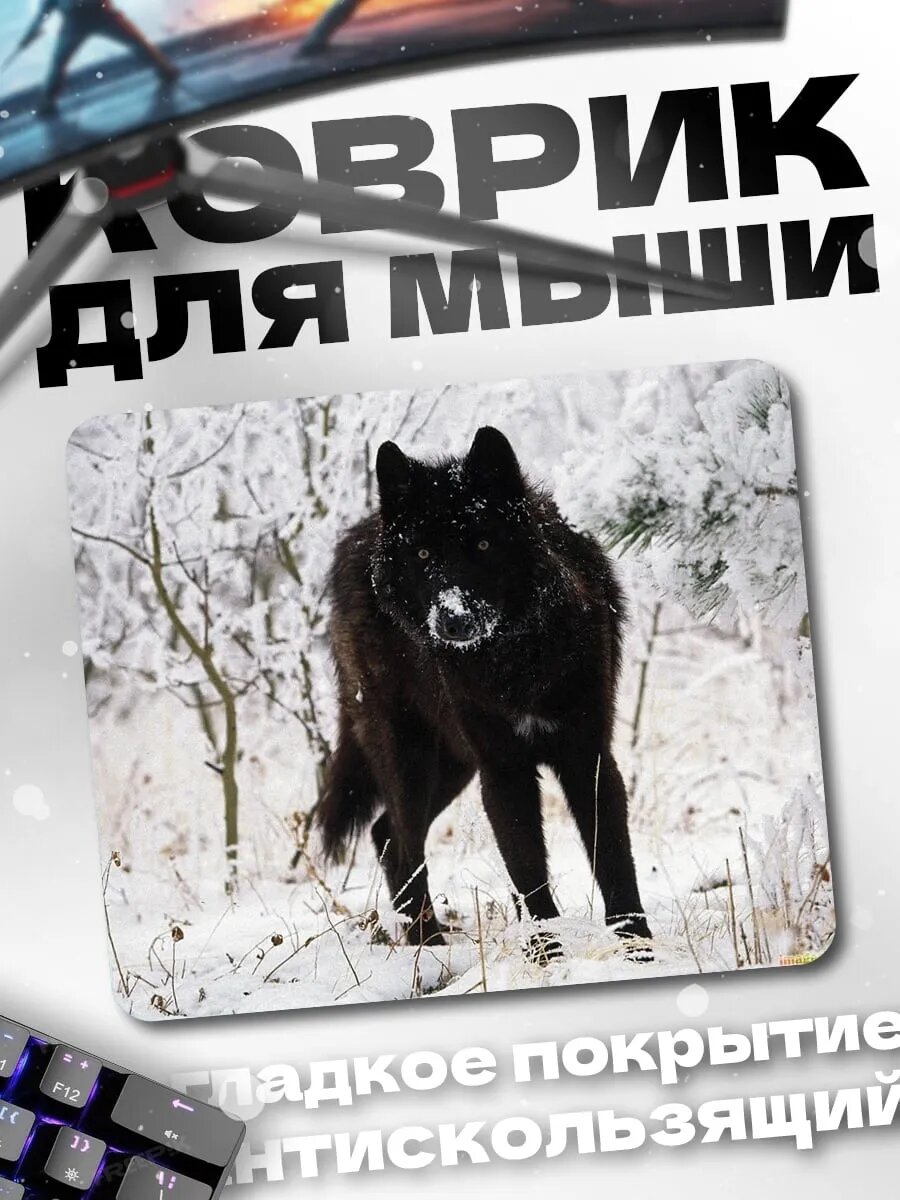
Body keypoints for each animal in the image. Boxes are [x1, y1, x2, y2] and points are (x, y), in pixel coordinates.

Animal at [317, 425, 651, 953]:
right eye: (423, 554)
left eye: (483, 544)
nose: (453, 619)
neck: (516, 661)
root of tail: (357, 537)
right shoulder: (504, 771)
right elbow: (527, 871)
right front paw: (546, 954)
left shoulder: (587, 756)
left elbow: (615, 860)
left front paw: (638, 947)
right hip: (411, 757)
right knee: (402, 840)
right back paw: (428, 946)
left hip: (453, 763)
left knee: (385, 833)